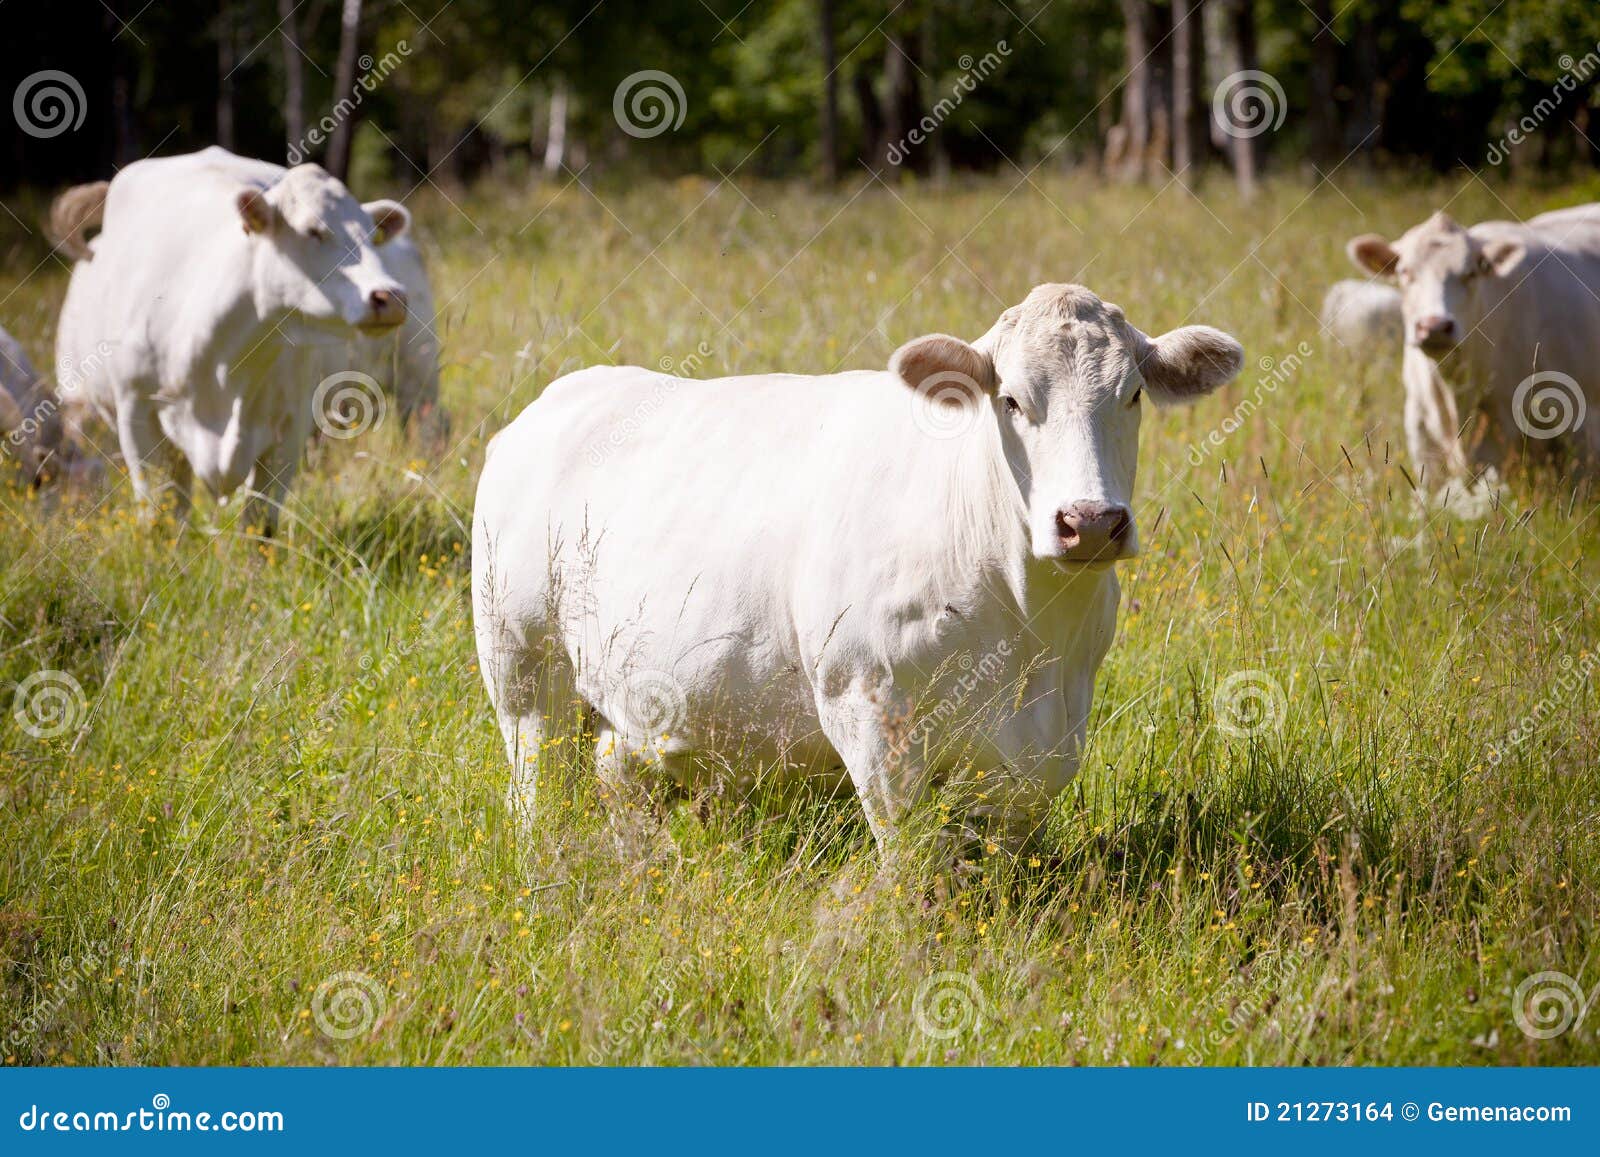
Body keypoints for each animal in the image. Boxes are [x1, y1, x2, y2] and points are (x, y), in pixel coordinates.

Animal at [51, 147, 413, 533]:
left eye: (372, 235)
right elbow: (162, 516)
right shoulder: (136, 413)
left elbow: (260, 522)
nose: (391, 296)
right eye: (312, 231)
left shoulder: (293, 423)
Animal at [472, 284, 1243, 856]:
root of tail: (560, 397)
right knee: (537, 794)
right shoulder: (873, 717)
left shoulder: (1049, 738)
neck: (1030, 620)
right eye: (1013, 399)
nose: (1089, 521)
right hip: (524, 674)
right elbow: (909, 864)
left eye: (1132, 394)